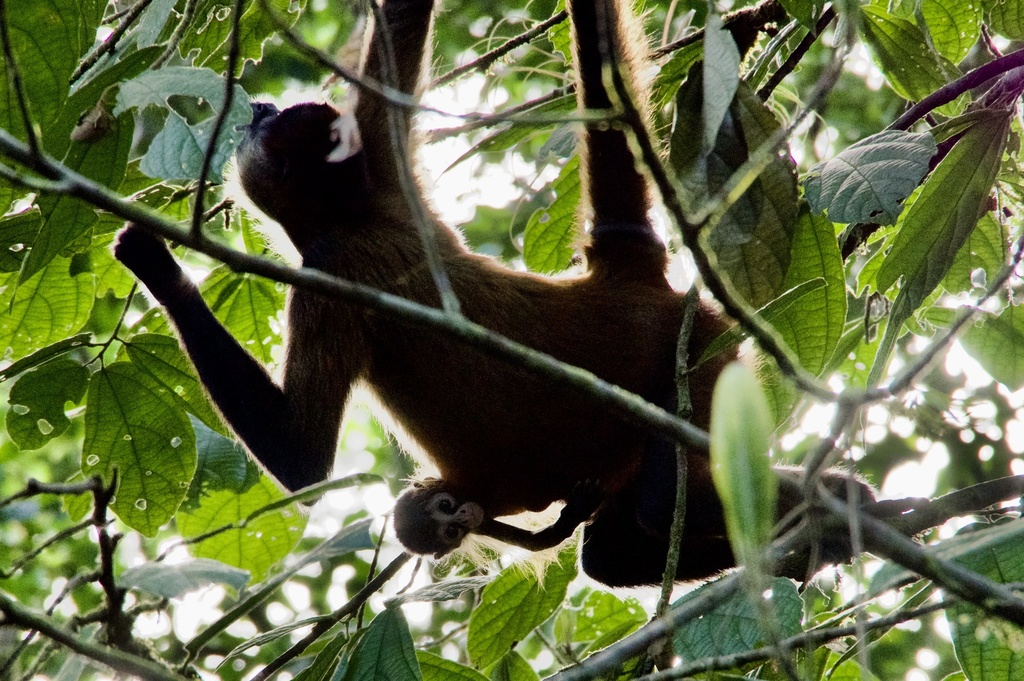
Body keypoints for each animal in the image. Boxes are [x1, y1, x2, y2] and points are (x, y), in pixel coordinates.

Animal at [114, 0, 869, 587]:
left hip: (699, 360)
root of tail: (621, 282)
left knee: (665, 503)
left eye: (266, 127)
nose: (257, 109)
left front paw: (156, 265)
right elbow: (401, 35)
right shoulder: (387, 179)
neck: (351, 215)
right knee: (614, 549)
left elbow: (303, 460)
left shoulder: (331, 271)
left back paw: (841, 508)